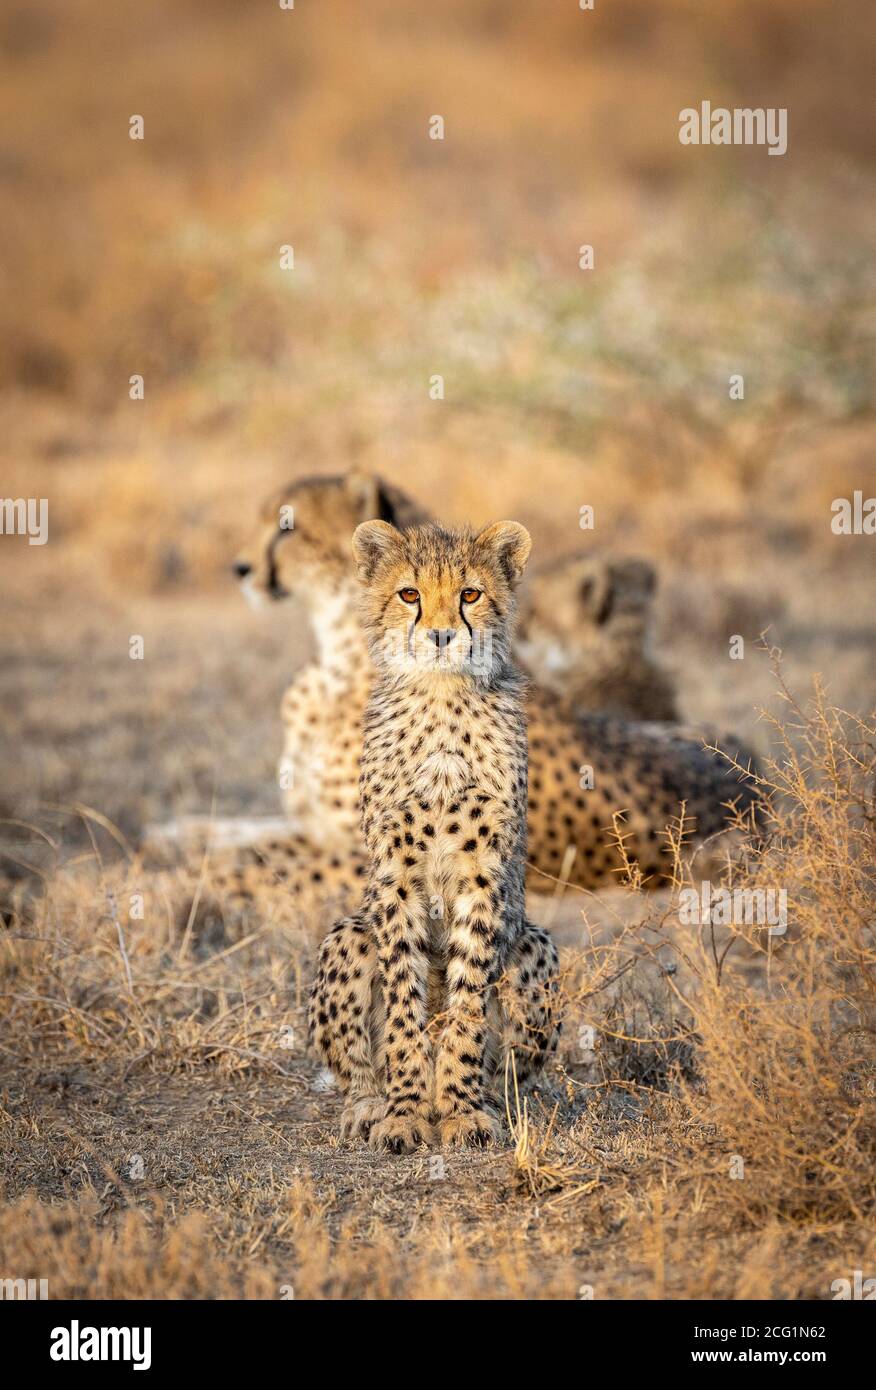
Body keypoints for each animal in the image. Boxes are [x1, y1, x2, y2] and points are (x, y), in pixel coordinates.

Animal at [308, 518, 560, 1151]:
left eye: (470, 594)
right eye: (409, 594)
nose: (443, 635)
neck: (442, 699)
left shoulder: (483, 875)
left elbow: (466, 1006)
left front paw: (462, 1109)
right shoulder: (395, 879)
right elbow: (404, 1002)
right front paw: (404, 1111)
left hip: (535, 947)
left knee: (513, 1069)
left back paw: (495, 1103)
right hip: (349, 934)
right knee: (354, 1066)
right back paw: (369, 1104)